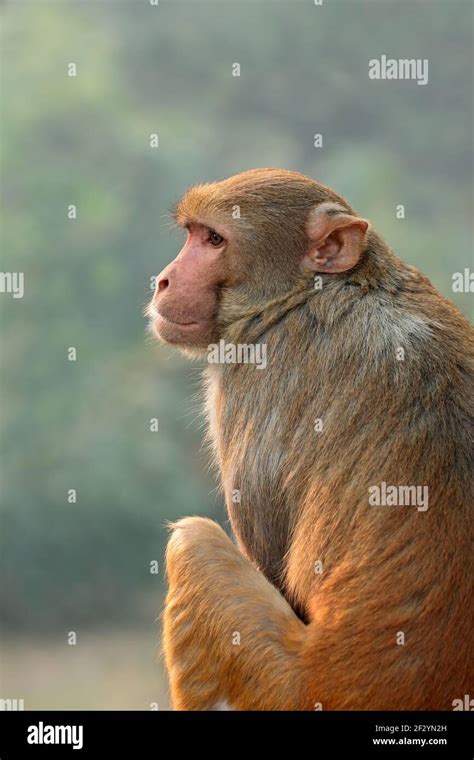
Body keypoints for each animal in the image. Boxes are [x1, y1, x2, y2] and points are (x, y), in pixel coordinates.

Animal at [147, 168, 474, 710]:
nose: (164, 280)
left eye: (214, 239)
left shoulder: (251, 374)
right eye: (192, 234)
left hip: (282, 688)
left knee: (193, 543)